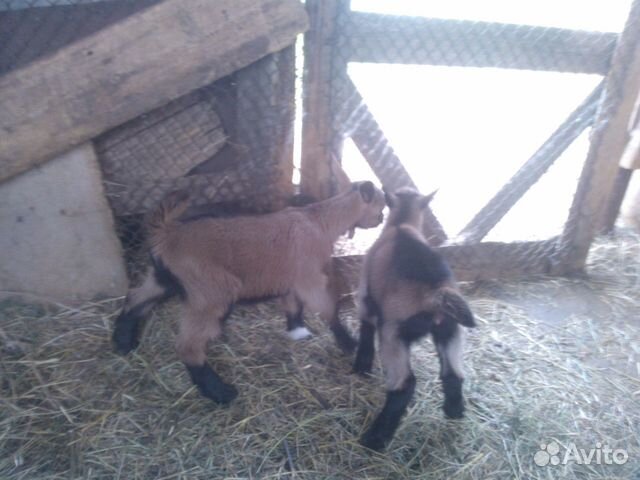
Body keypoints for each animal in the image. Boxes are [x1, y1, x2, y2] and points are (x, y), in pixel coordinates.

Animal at [112, 181, 386, 404]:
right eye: (381, 206)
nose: (382, 220)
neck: (320, 221)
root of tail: (167, 234)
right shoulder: (309, 278)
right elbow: (328, 309)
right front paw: (348, 343)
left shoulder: (290, 278)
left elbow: (293, 306)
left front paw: (297, 331)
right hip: (211, 292)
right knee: (187, 345)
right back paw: (220, 392)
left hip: (163, 278)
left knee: (136, 299)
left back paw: (123, 342)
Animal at [353, 187, 476, 451]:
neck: (401, 224)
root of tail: (436, 293)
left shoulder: (365, 295)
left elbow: (365, 325)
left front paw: (362, 364)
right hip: (451, 330)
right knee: (453, 374)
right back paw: (454, 411)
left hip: (393, 334)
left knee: (404, 384)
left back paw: (376, 438)